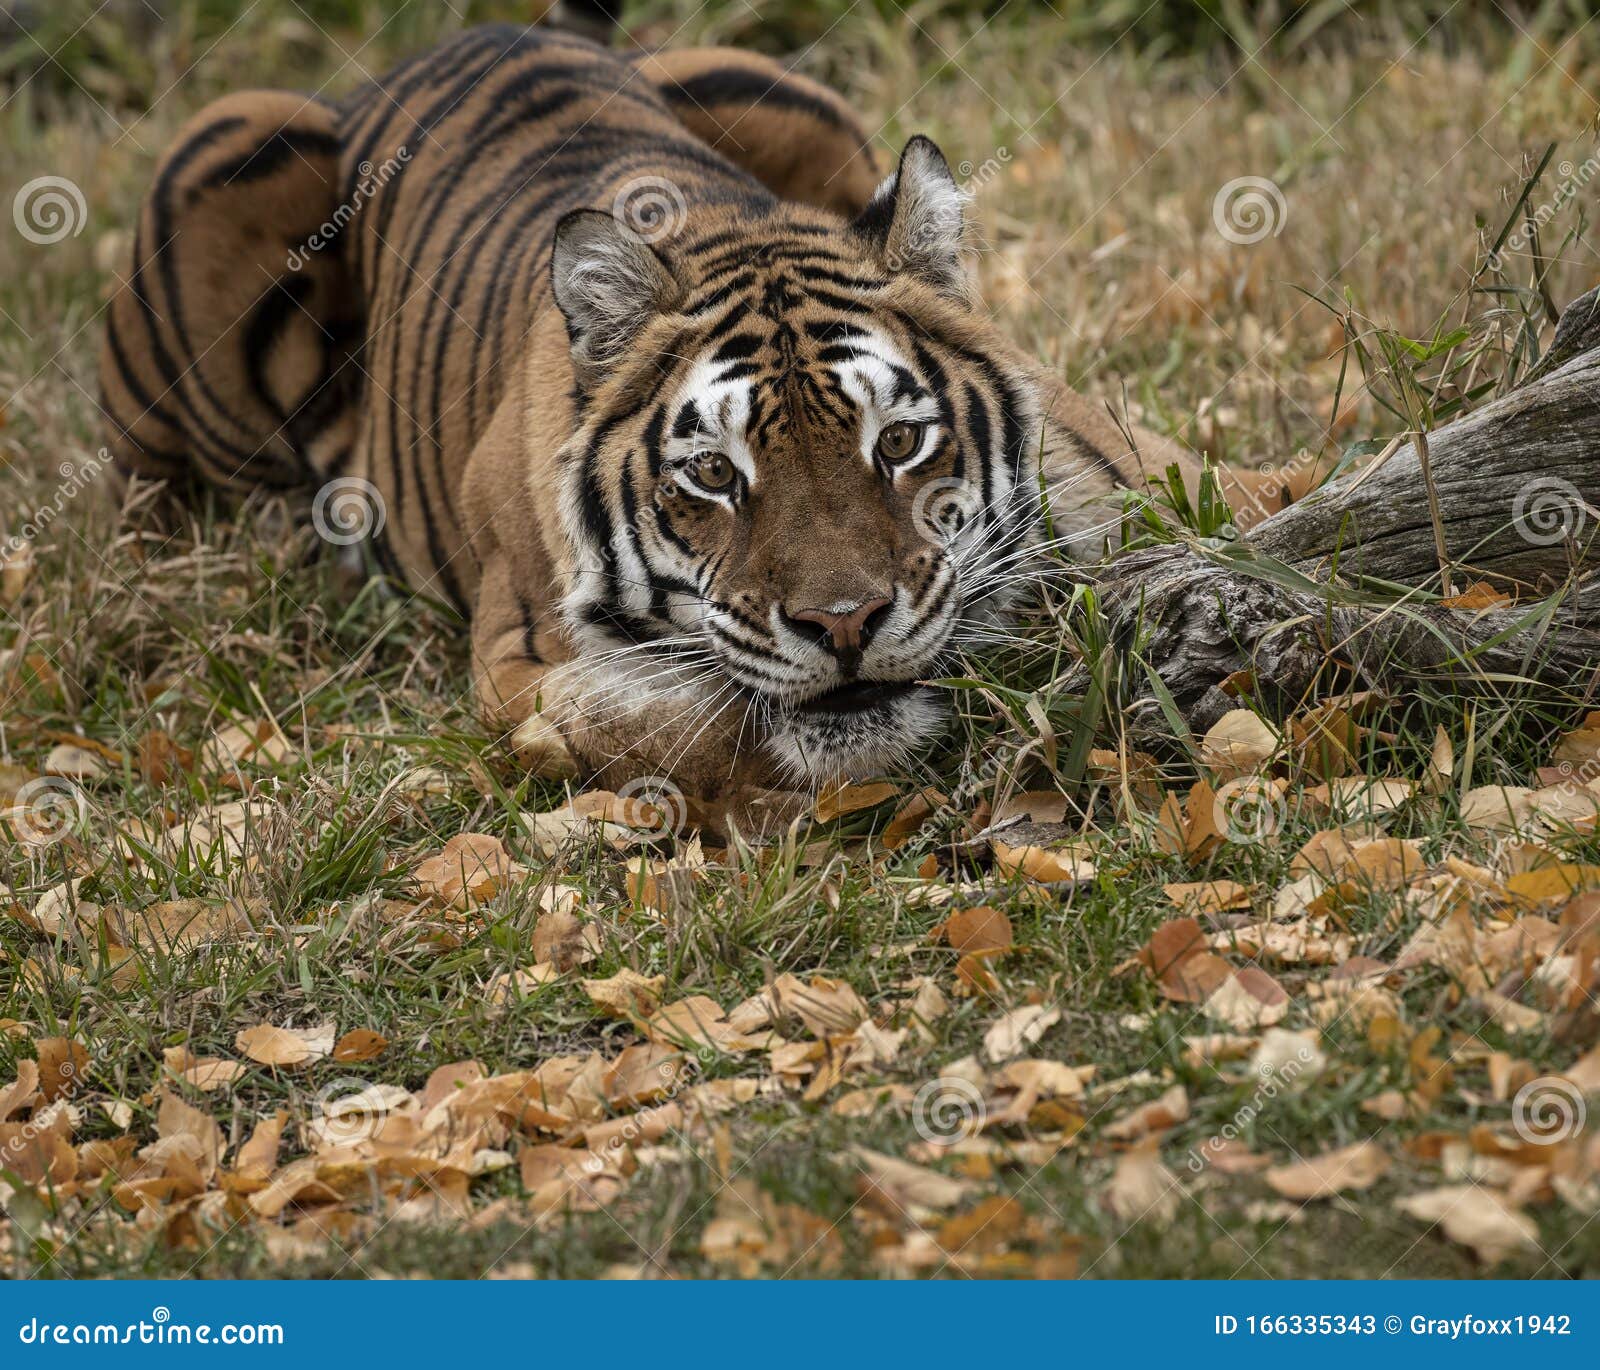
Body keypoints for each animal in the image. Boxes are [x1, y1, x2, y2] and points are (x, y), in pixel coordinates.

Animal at [98, 16, 1198, 800]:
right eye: (712, 472)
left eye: (899, 442)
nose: (844, 626)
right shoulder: (517, 654)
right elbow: (679, 715)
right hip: (226, 147)